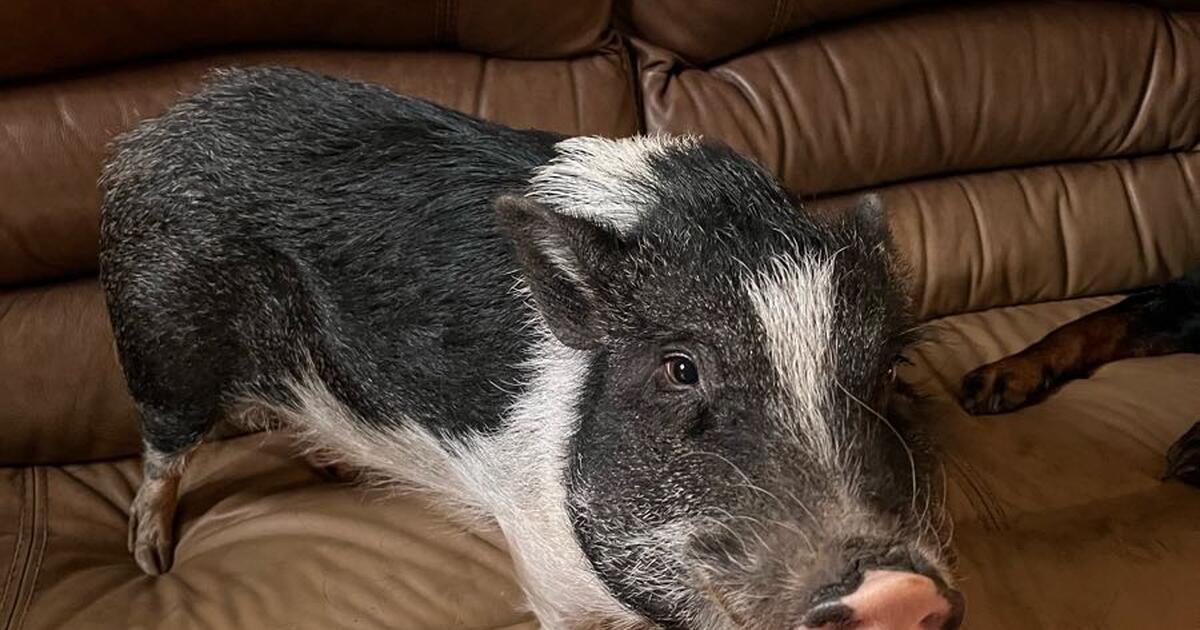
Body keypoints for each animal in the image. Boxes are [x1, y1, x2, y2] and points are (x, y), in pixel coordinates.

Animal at [99, 66, 962, 630]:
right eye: (680, 369)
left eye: (889, 371)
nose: (897, 591)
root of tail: (158, 127)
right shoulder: (548, 571)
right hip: (159, 335)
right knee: (164, 446)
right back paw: (149, 557)